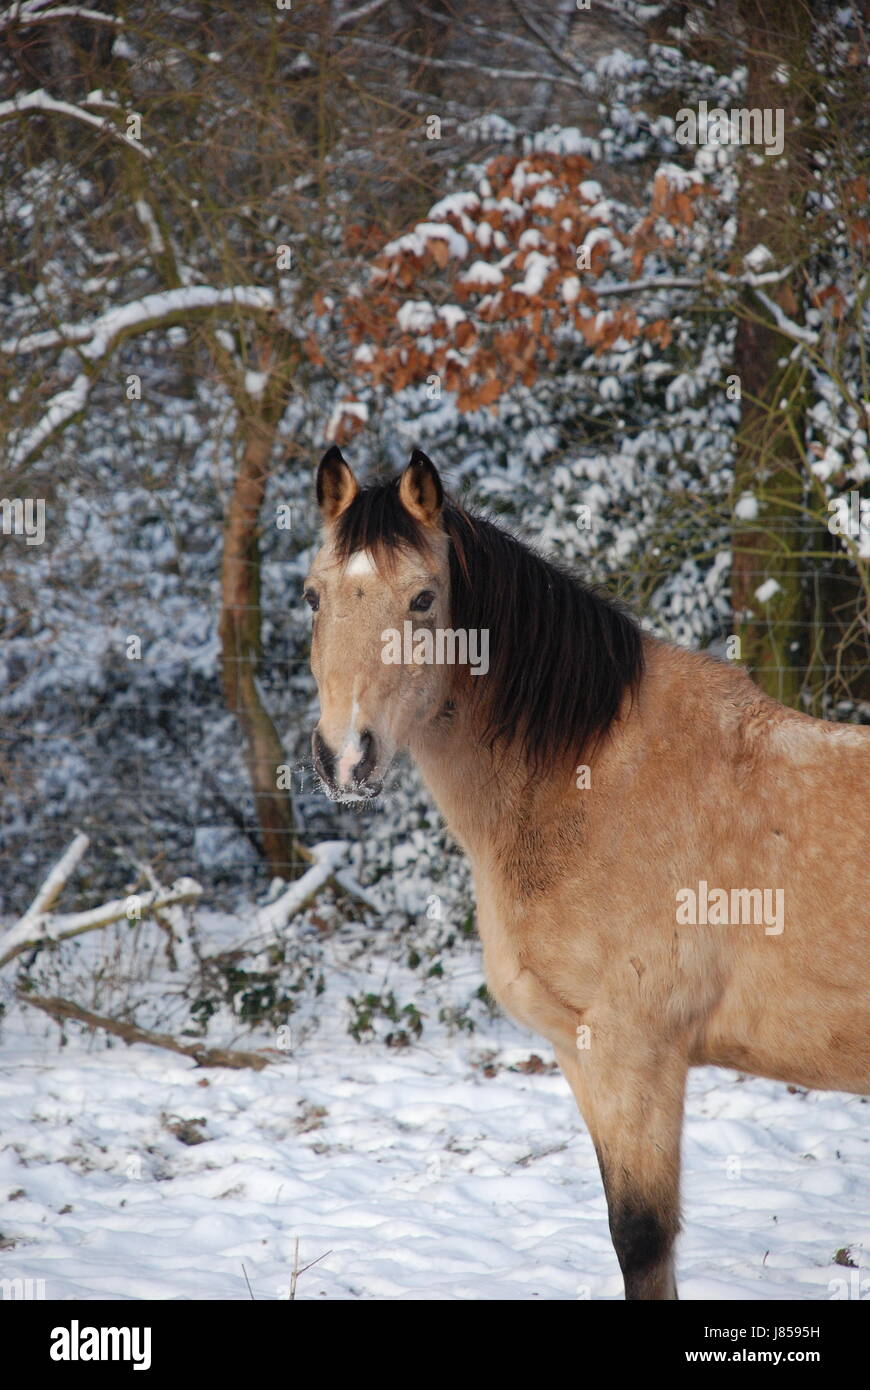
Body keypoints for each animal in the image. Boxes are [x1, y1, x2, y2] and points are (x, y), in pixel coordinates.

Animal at [305, 444, 870, 1300]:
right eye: (313, 596)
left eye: (423, 598)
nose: (345, 757)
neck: (592, 779)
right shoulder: (580, 1054)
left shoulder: (635, 1052)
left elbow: (640, 1238)